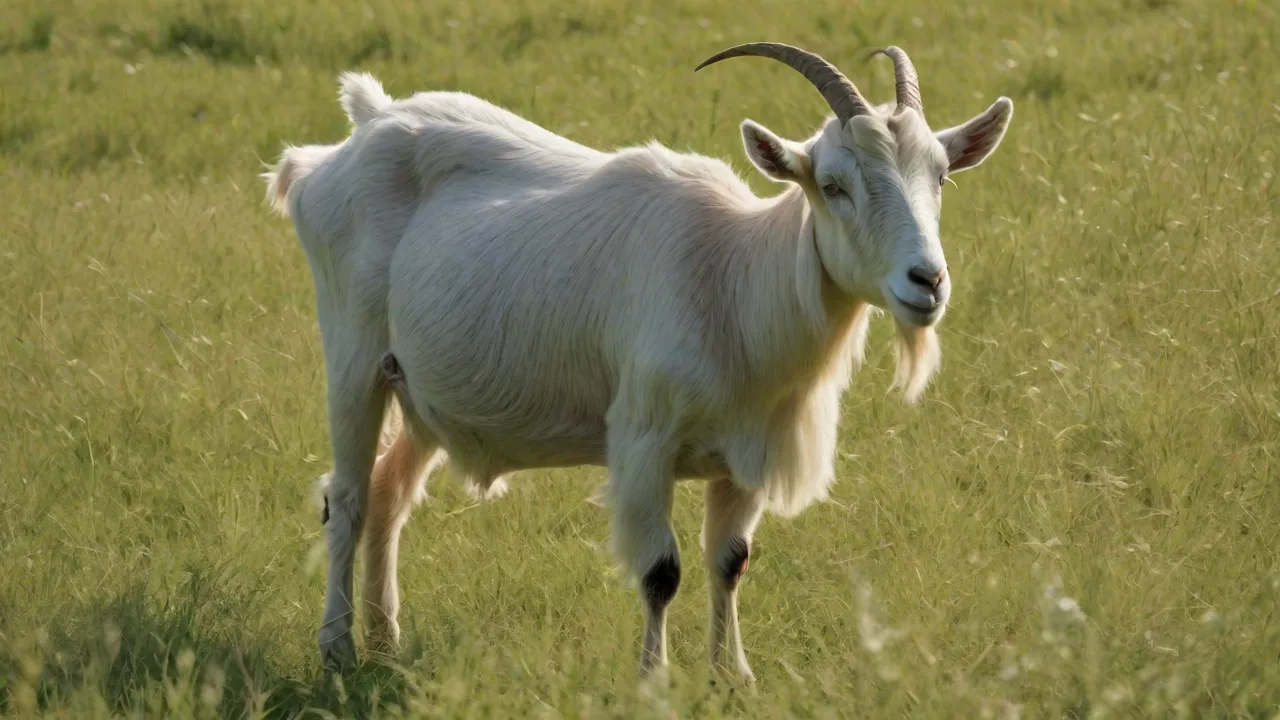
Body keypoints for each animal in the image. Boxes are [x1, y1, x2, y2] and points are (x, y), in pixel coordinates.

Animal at [264, 42, 1013, 680]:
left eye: (940, 175)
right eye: (832, 185)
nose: (927, 281)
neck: (732, 278)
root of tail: (361, 126)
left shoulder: (745, 456)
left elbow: (729, 562)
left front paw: (731, 678)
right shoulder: (645, 441)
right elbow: (661, 571)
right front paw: (654, 681)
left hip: (417, 386)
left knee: (389, 495)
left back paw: (385, 642)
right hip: (354, 356)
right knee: (349, 497)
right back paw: (337, 650)